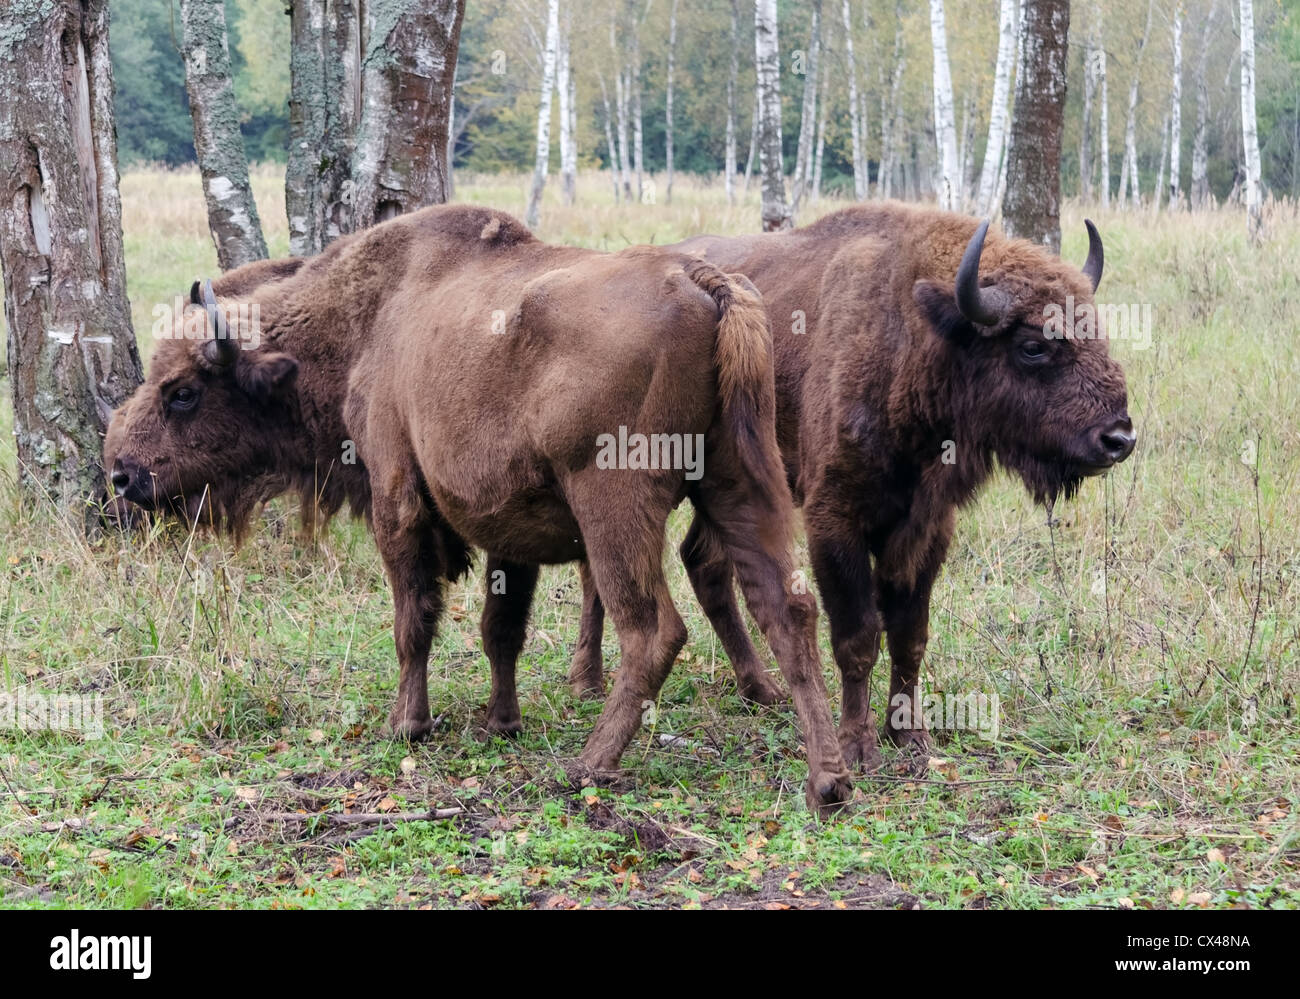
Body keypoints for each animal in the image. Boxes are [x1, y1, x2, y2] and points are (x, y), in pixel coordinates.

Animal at [103, 204, 853, 816]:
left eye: (182, 390)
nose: (121, 472)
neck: (370, 321)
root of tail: (705, 282)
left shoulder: (398, 502)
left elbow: (414, 620)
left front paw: (408, 724)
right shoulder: (506, 530)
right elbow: (501, 629)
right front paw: (501, 721)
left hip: (616, 503)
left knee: (653, 628)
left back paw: (588, 766)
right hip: (737, 480)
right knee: (788, 607)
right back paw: (828, 781)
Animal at [572, 202, 1136, 770]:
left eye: (1098, 332)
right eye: (1033, 346)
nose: (1118, 438)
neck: (910, 331)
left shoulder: (927, 528)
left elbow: (910, 633)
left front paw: (911, 735)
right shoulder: (834, 520)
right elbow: (857, 636)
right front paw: (858, 746)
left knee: (700, 563)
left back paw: (760, 691)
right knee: (607, 569)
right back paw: (589, 684)